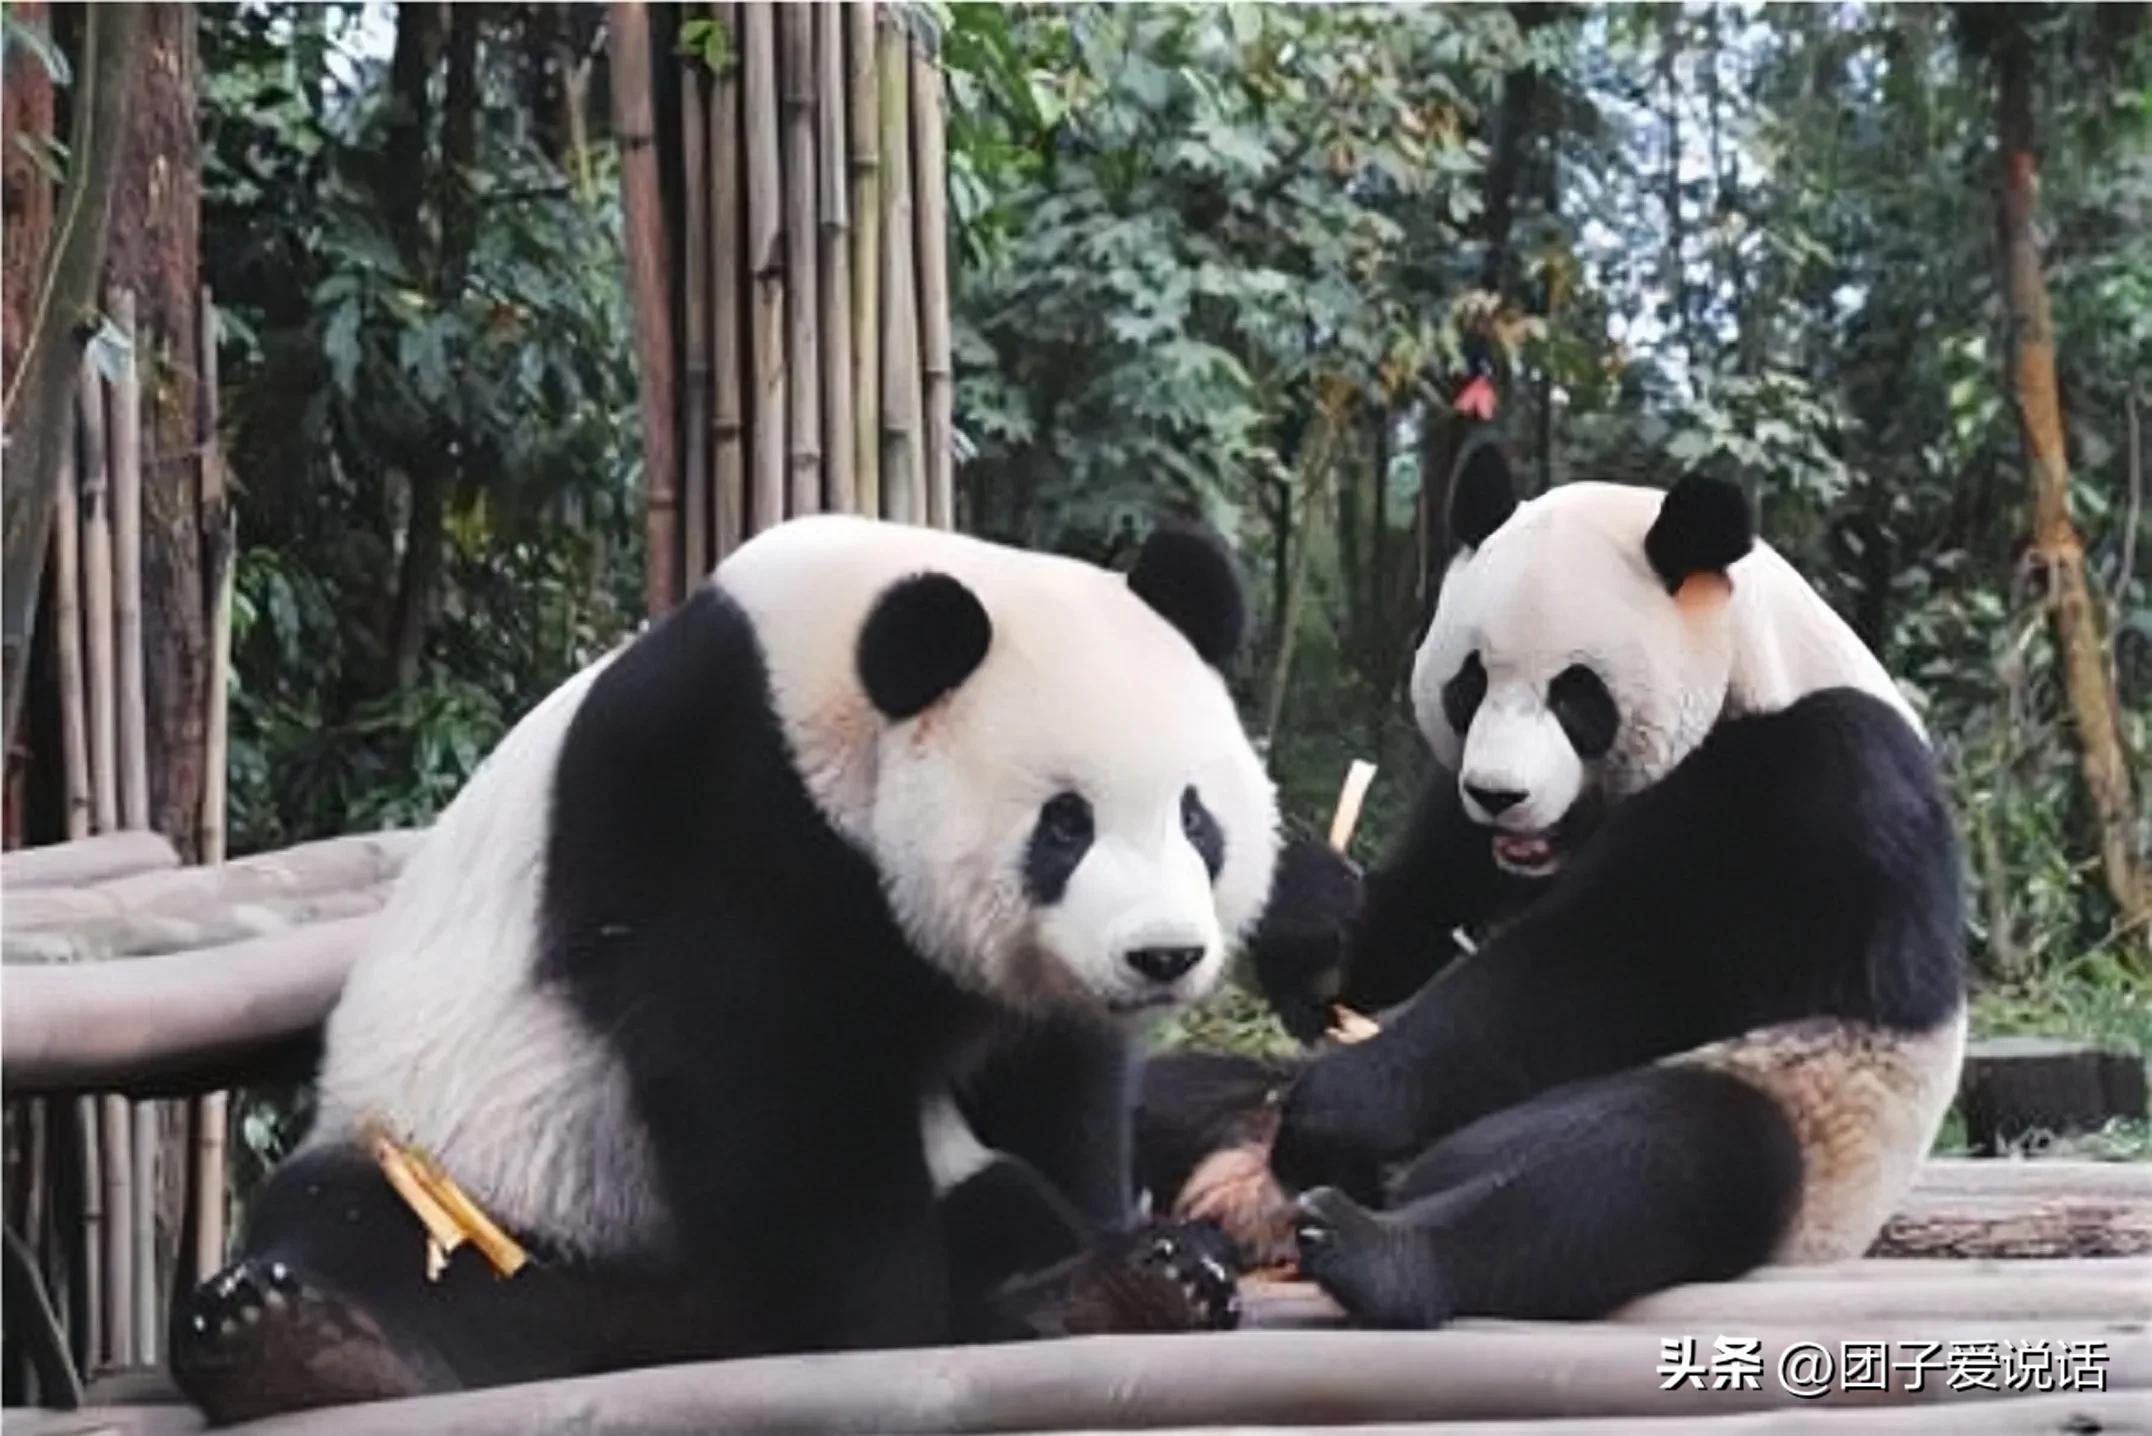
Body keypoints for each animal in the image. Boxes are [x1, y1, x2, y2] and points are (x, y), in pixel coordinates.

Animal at [169, 516, 1278, 1423]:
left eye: (1195, 816)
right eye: (1065, 823)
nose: (1162, 954)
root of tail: (649, 1333)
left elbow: (1049, 1087)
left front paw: (1100, 1243)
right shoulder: (714, 805)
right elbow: (773, 1083)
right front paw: (882, 1327)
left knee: (993, 1198)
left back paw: (1126, 1288)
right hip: (484, 1173)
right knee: (361, 1224)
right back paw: (297, 1344)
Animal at [1167, 449, 1966, 1327]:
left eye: (1575, 694)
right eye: (1470, 682)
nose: (1499, 793)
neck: (1752, 667)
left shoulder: (1821, 782)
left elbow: (1617, 967)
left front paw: (1347, 1101)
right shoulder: (1466, 809)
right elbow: (1414, 915)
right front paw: (1311, 915)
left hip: (1808, 1112)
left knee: (1635, 1165)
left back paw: (1377, 1250)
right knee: (1170, 1094)